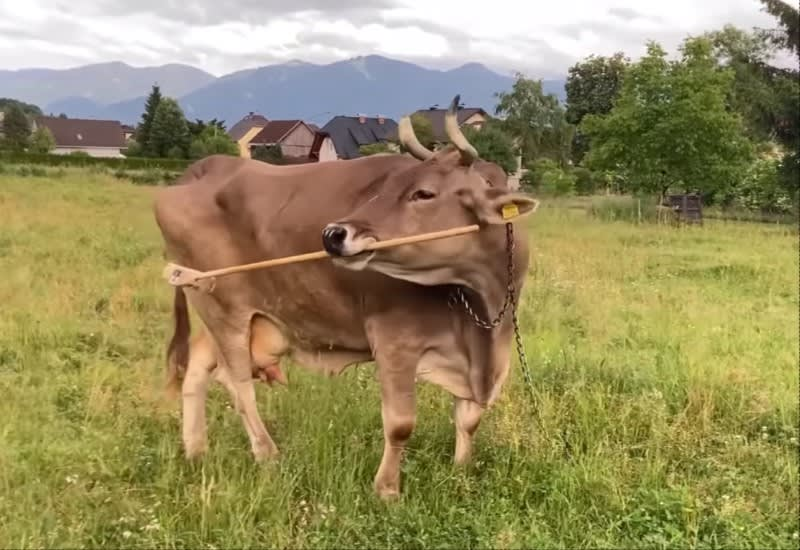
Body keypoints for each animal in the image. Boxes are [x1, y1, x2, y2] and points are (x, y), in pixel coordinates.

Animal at [154, 95, 540, 499]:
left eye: (424, 193)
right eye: (384, 187)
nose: (333, 234)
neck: (480, 312)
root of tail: (203, 168)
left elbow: (468, 419)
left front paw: (461, 473)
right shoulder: (395, 341)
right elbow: (400, 423)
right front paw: (387, 490)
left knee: (197, 365)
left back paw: (196, 450)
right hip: (225, 309)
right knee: (239, 383)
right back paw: (267, 454)